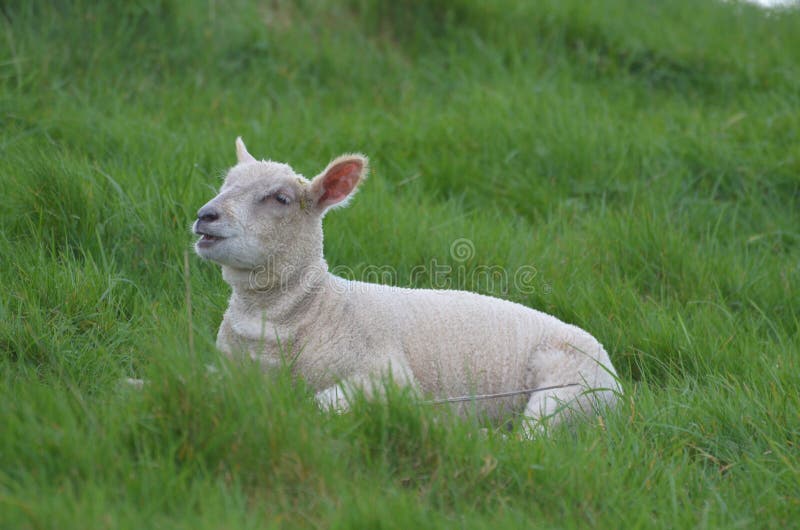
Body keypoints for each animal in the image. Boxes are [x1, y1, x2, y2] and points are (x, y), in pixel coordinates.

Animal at [193, 138, 621, 436]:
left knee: (530, 439)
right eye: (226, 183)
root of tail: (618, 384)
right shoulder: (229, 367)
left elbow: (317, 405)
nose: (205, 215)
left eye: (281, 198)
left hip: (572, 390)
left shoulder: (388, 376)